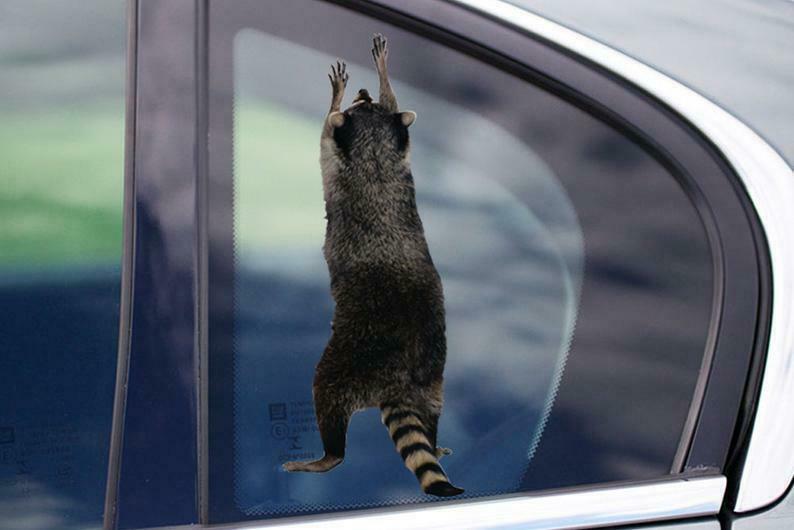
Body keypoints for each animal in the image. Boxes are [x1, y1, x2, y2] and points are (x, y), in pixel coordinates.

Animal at [282, 34, 463, 498]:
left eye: (362, 105)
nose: (363, 91)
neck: (376, 153)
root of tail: (397, 380)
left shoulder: (337, 160)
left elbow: (323, 134)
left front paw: (339, 95)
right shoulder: (402, 156)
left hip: (346, 362)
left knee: (325, 393)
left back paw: (328, 455)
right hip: (432, 374)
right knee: (431, 411)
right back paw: (433, 440)